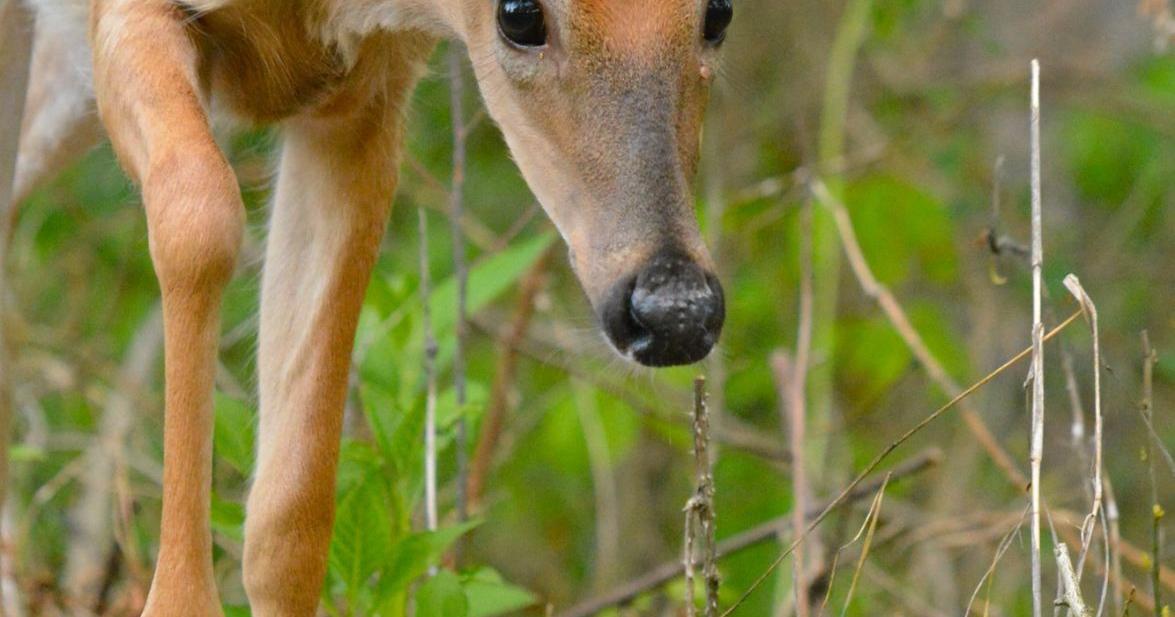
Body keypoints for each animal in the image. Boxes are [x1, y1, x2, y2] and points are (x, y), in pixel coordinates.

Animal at [0, 0, 731, 613]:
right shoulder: (123, 16)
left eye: (719, 11)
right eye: (518, 14)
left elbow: (287, 525)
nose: (675, 310)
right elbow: (198, 219)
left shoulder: (361, 95)